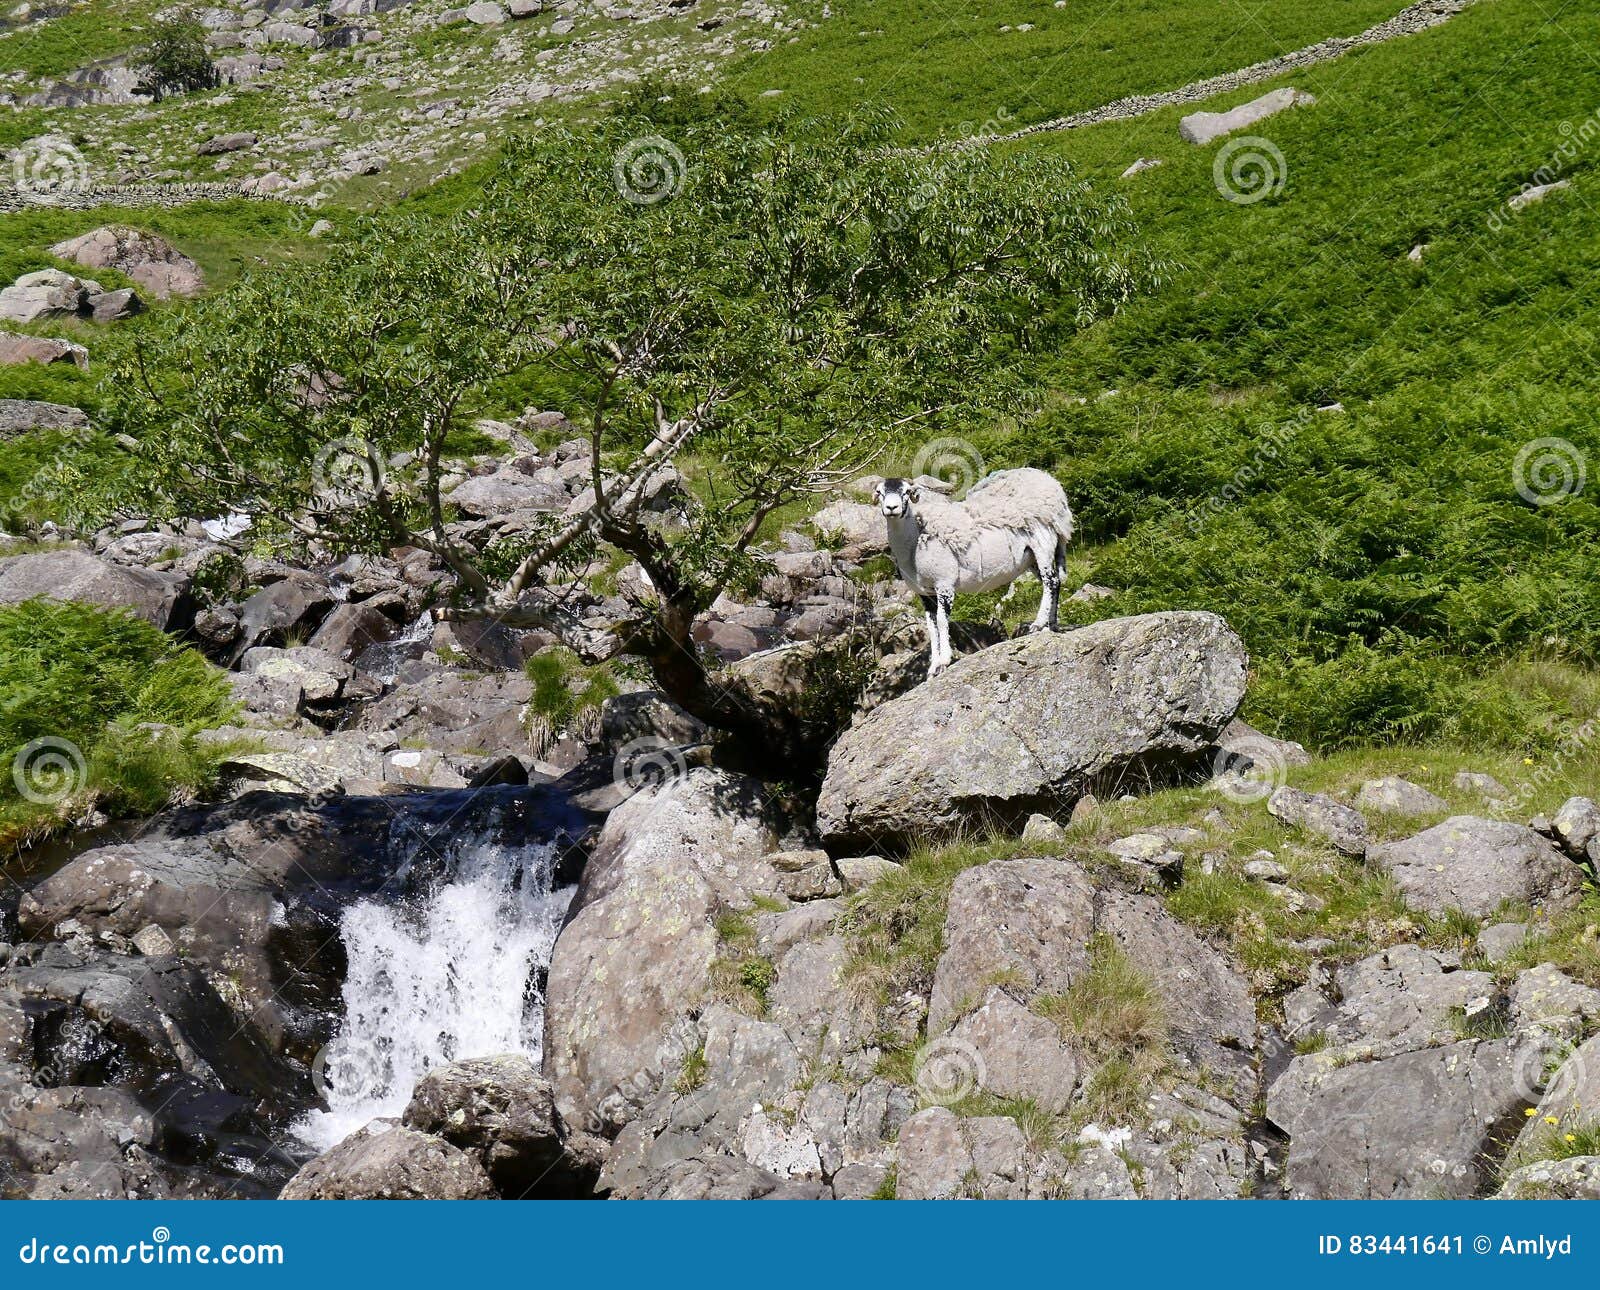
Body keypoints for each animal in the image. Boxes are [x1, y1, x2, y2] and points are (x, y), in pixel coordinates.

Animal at [874, 468, 1075, 680]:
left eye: (906, 492)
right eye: (880, 492)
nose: (892, 508)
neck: (915, 540)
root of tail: (1051, 483)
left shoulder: (944, 584)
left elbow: (942, 622)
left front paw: (944, 661)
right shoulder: (925, 594)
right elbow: (931, 628)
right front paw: (933, 667)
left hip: (1042, 540)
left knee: (1050, 582)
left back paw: (1038, 623)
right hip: (1031, 557)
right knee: (1055, 582)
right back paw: (1051, 625)